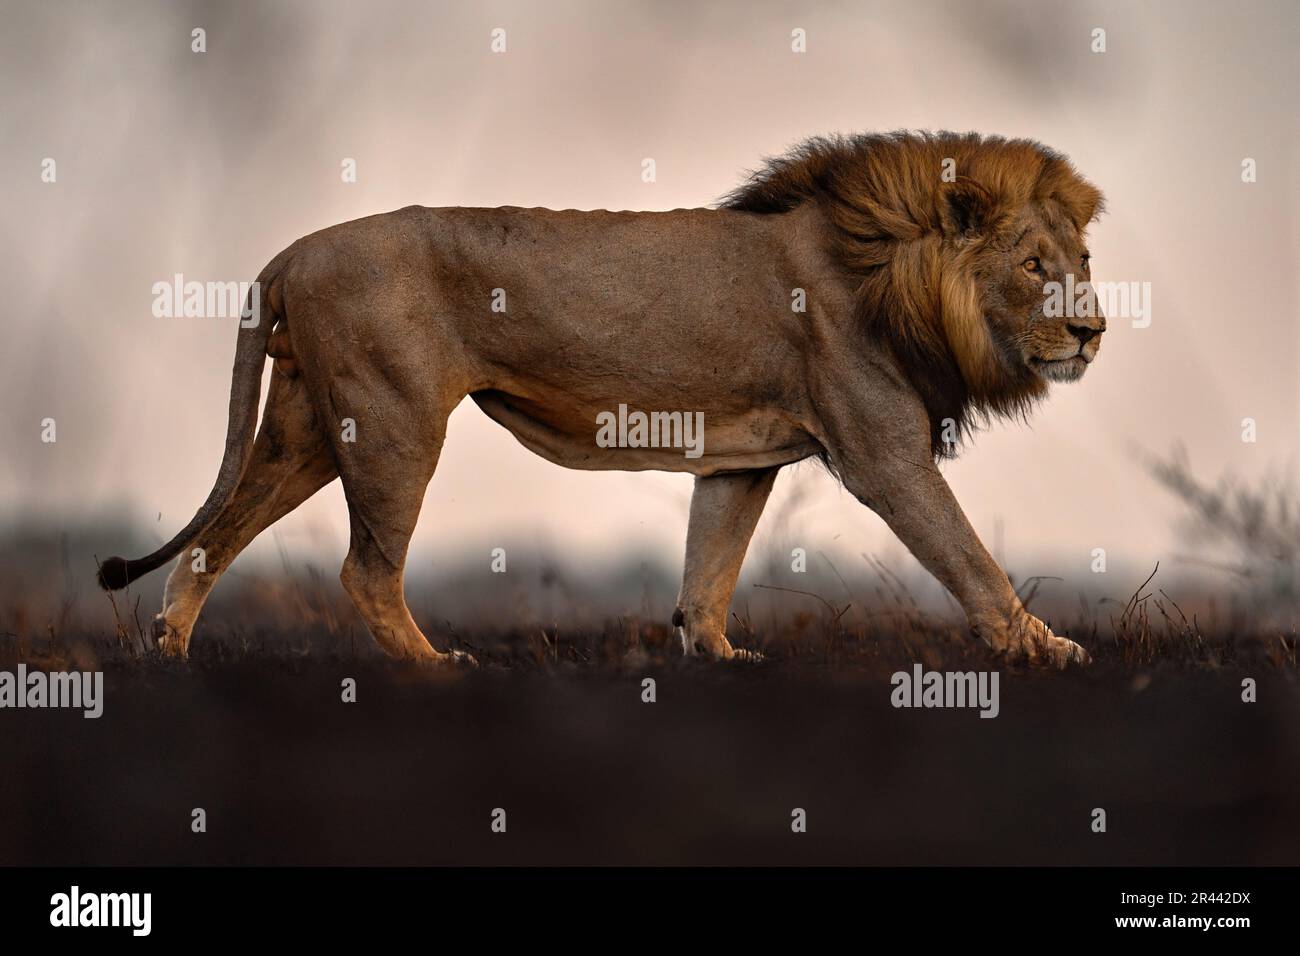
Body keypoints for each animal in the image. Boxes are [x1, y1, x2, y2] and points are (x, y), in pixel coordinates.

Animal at [98, 131, 1105, 668]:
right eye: (1032, 266)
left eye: (1084, 259)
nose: (1093, 330)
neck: (887, 272)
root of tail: (295, 251)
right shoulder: (885, 454)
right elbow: (970, 557)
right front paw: (1043, 649)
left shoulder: (740, 462)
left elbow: (709, 570)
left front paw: (718, 656)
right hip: (393, 424)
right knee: (365, 570)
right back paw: (435, 669)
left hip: (308, 428)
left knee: (215, 538)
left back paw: (170, 655)